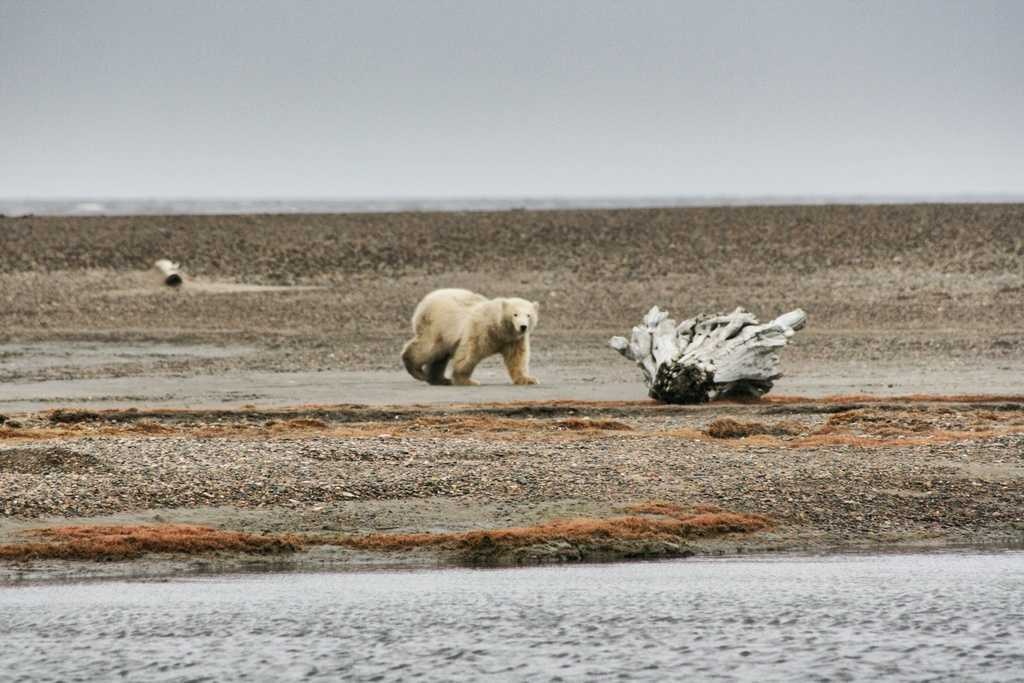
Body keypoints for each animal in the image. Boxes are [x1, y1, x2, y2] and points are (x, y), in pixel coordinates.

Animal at [401, 288, 539, 386]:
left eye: (528, 315)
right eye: (515, 314)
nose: (523, 327)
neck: (499, 329)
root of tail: (425, 300)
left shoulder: (513, 340)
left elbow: (517, 358)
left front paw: (528, 379)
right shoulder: (482, 330)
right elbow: (470, 353)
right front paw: (466, 380)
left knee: (440, 356)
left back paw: (441, 379)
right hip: (437, 325)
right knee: (430, 348)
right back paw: (416, 370)